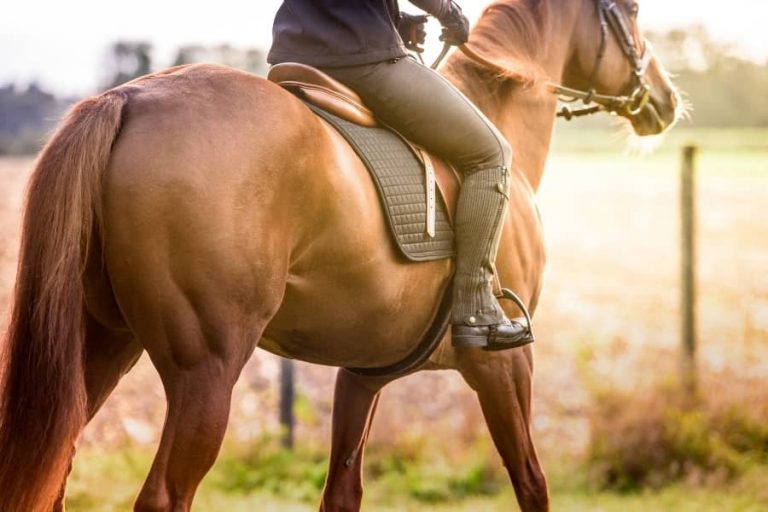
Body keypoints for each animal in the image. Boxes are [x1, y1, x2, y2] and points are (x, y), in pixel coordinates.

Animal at [0, 0, 680, 510]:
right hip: (205, 372)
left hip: (102, 347)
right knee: (164, 494)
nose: (666, 100)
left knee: (54, 475)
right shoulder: (505, 366)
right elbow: (533, 484)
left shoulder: (362, 376)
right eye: (631, 10)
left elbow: (342, 491)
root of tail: (129, 100)